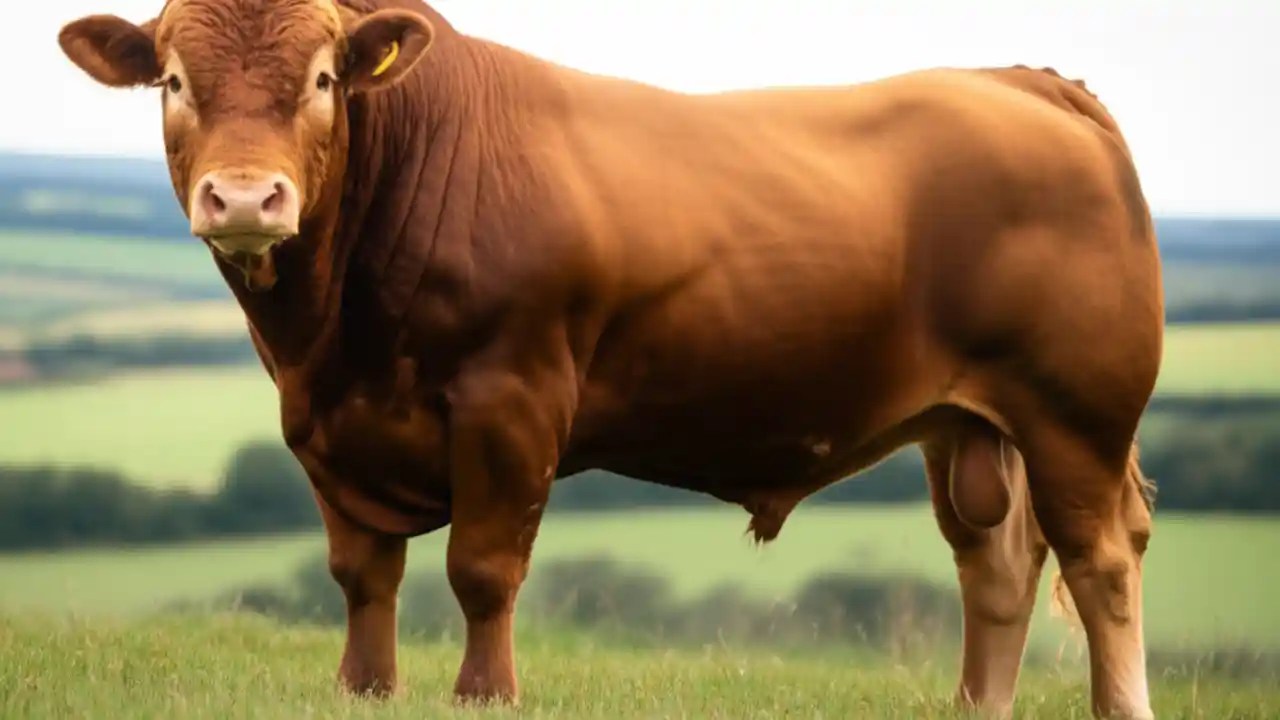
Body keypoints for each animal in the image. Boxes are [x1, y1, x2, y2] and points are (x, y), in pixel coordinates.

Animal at [58, 1, 1163, 717]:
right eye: (173, 81)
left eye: (324, 80)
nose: (246, 198)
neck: (340, 335)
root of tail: (1018, 81)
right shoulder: (322, 421)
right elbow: (362, 572)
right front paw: (364, 689)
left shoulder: (511, 399)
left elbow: (482, 568)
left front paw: (486, 694)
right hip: (964, 424)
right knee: (996, 565)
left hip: (1075, 414)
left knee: (1100, 562)